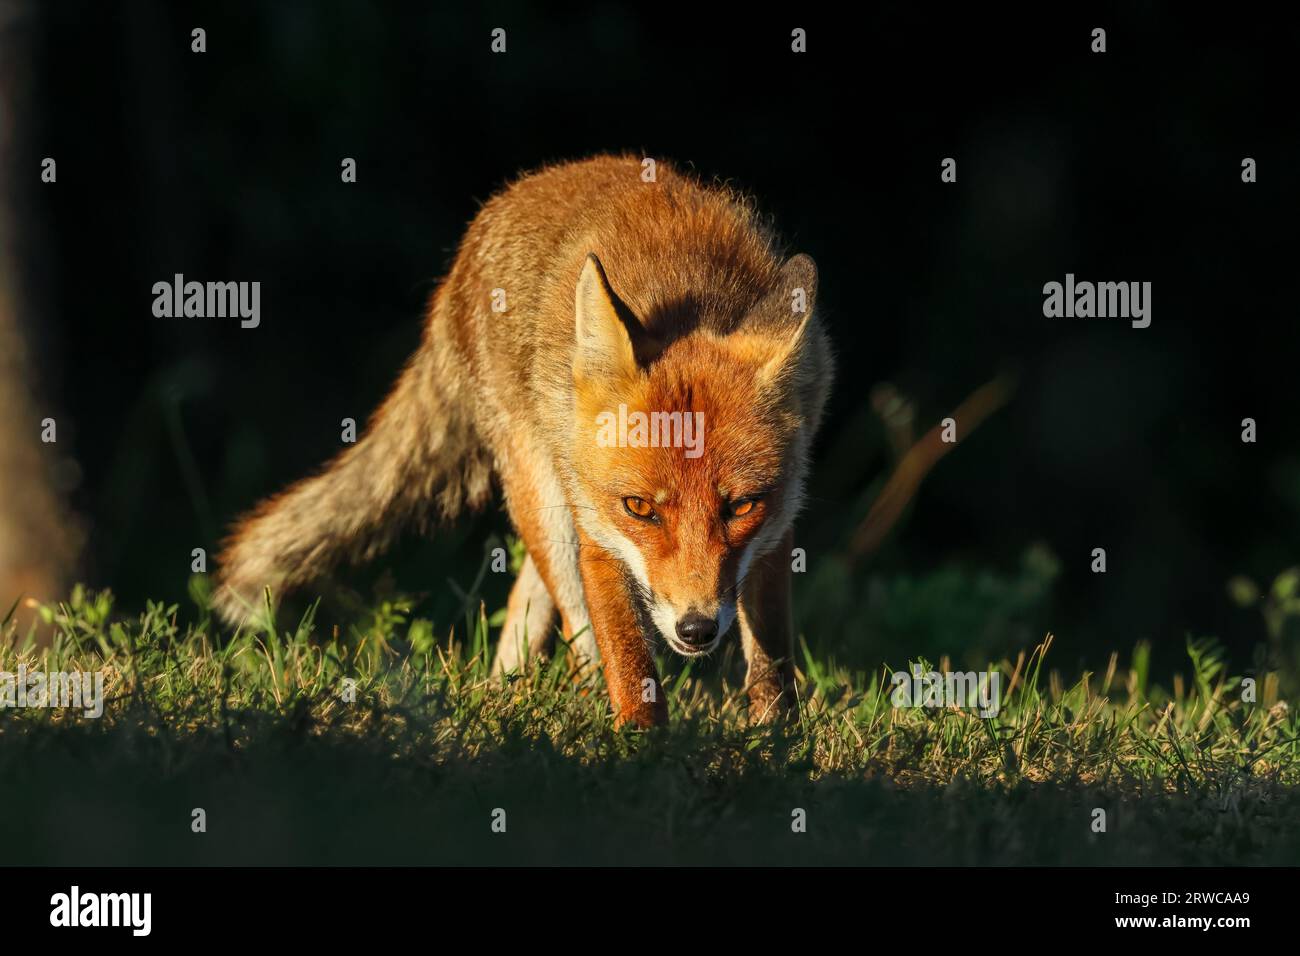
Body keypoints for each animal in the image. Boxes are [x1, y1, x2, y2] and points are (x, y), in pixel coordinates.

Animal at [214, 154, 833, 727]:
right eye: (638, 508)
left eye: (741, 506)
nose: (697, 628)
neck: (697, 295)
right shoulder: (601, 533)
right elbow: (630, 667)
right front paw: (645, 753)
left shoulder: (776, 528)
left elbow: (772, 661)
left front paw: (775, 742)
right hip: (547, 500)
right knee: (579, 636)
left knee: (528, 603)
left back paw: (501, 694)